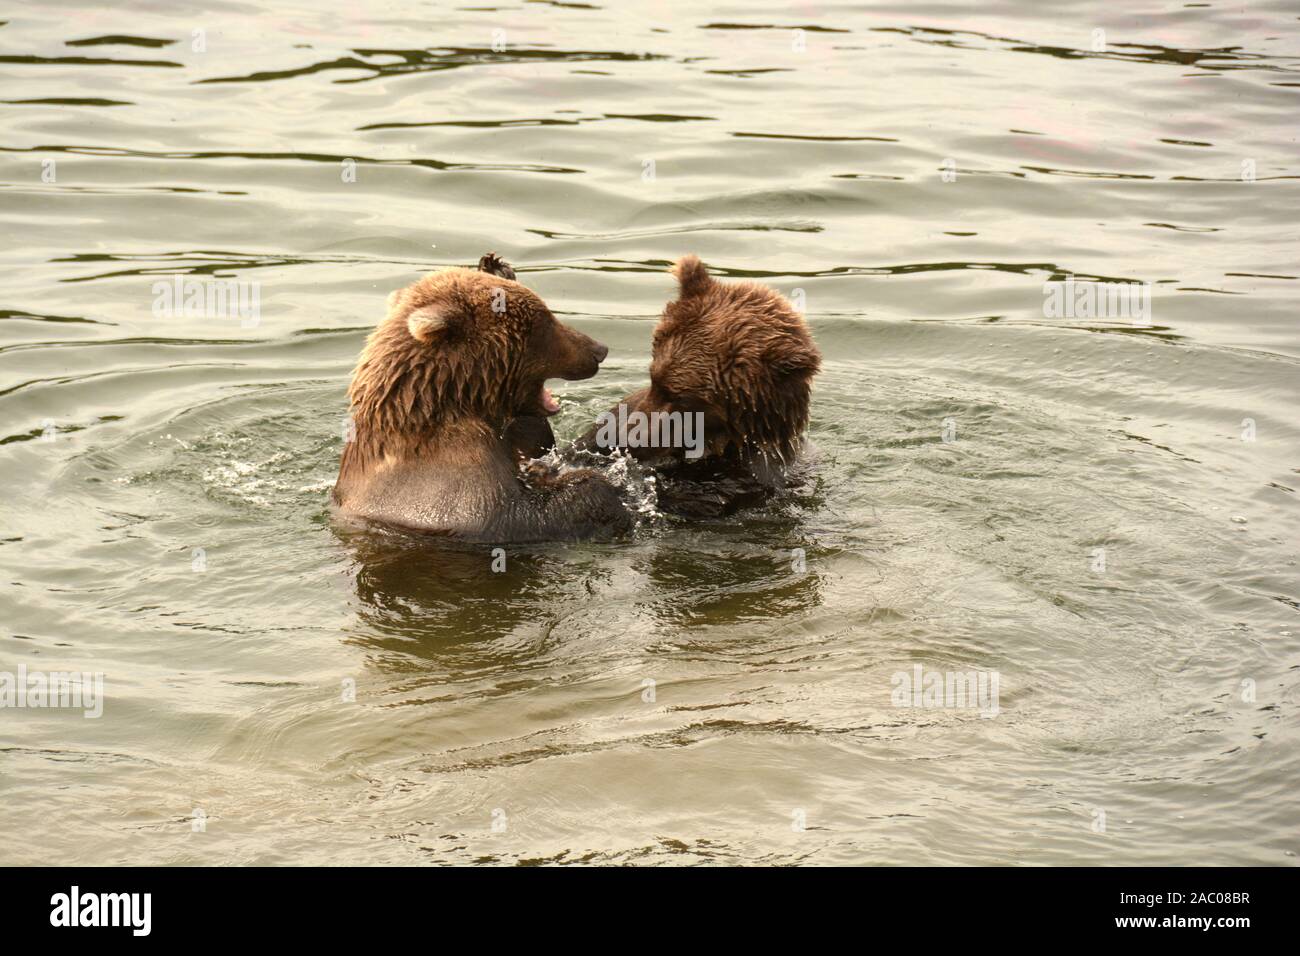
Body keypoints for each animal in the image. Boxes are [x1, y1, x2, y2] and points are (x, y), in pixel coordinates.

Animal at [332, 256, 634, 541]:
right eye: (547, 321)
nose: (599, 350)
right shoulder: (447, 480)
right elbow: (518, 516)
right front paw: (605, 489)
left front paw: (495, 266)